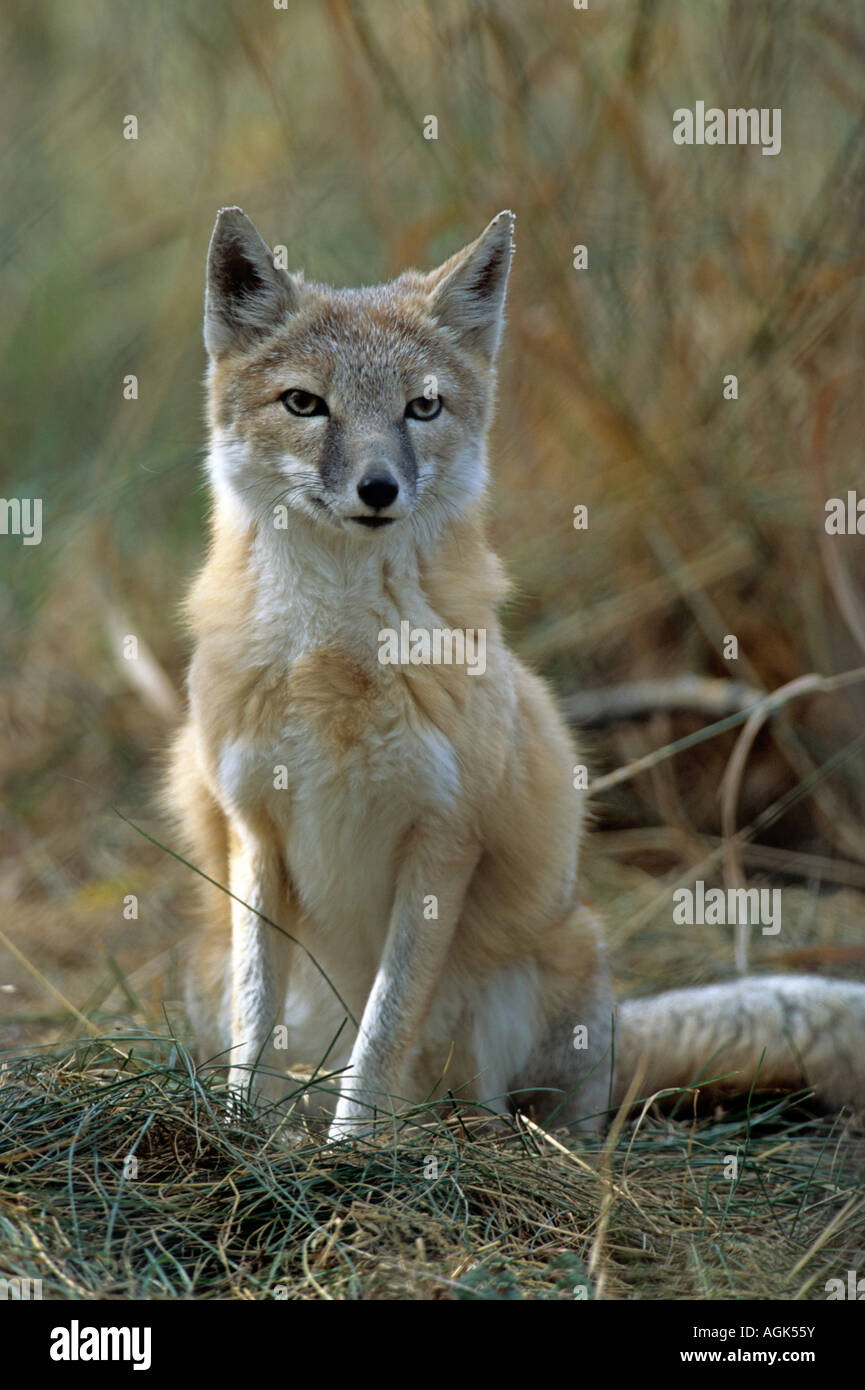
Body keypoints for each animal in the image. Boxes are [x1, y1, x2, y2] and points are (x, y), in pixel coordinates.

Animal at [166, 205, 865, 1140]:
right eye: (305, 404)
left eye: (422, 407)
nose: (378, 488)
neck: (336, 660)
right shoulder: (256, 834)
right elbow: (256, 1021)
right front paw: (243, 1140)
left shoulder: (441, 842)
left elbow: (383, 1029)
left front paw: (349, 1151)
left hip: (530, 990)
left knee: (504, 1108)